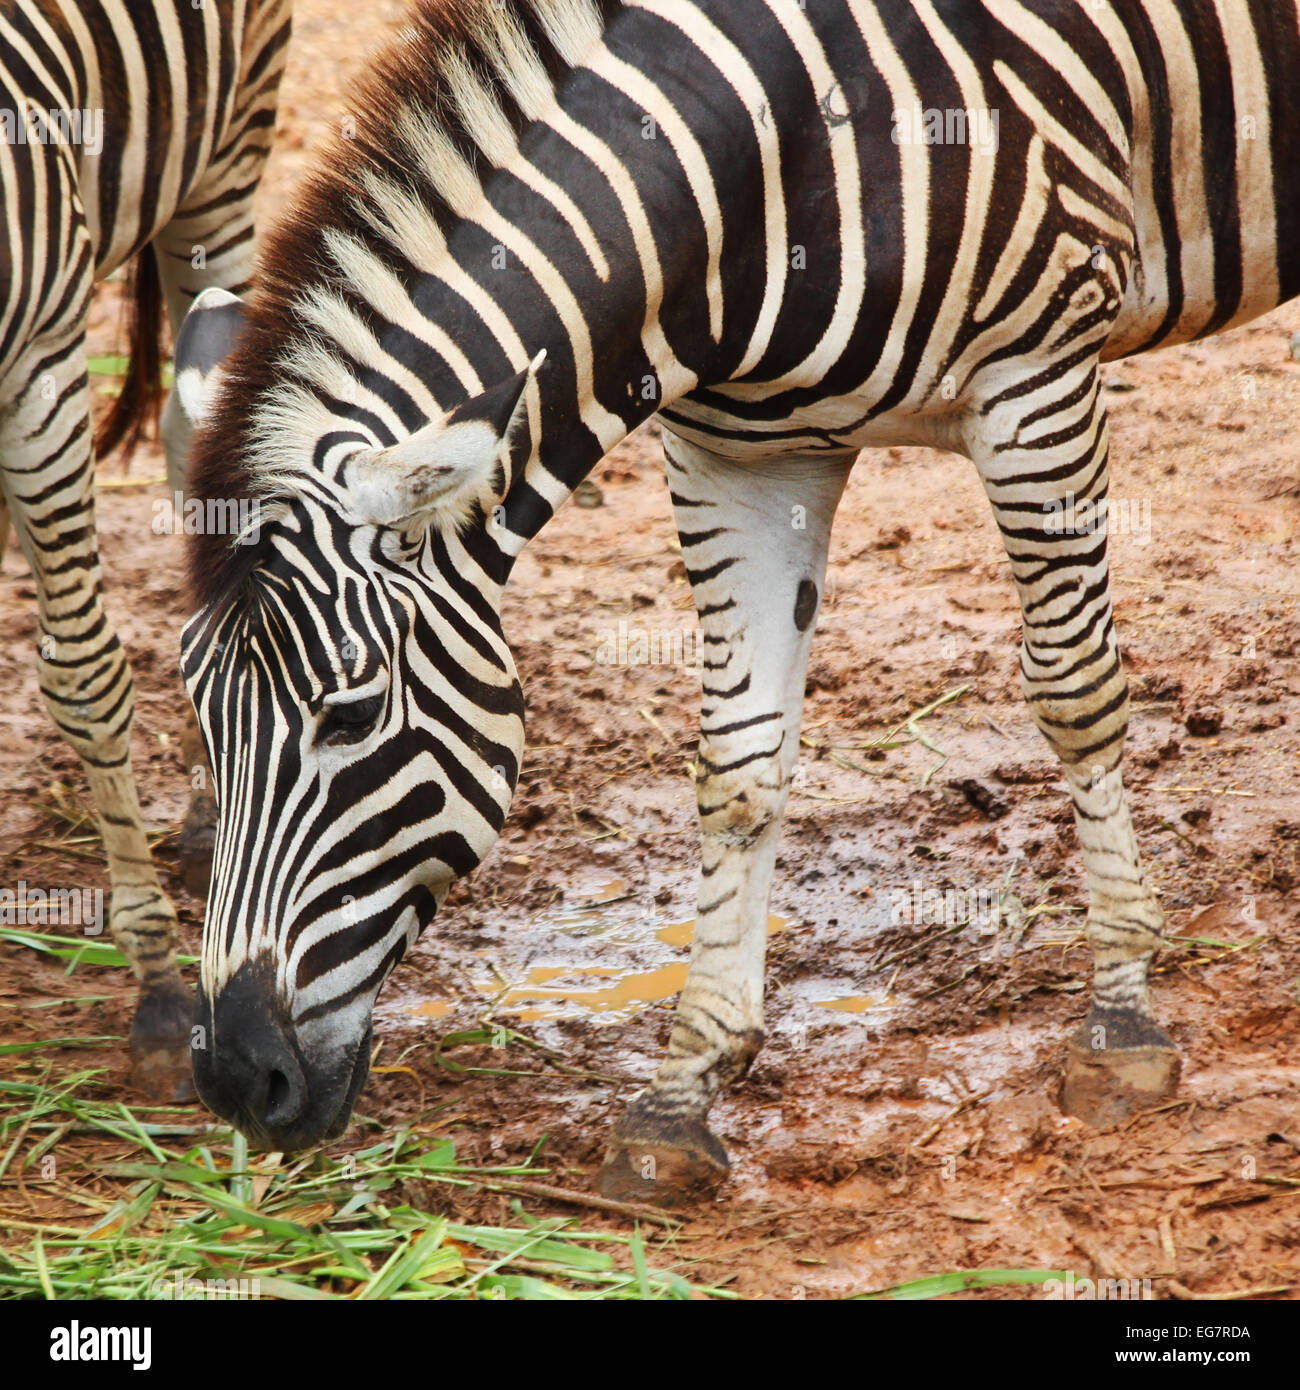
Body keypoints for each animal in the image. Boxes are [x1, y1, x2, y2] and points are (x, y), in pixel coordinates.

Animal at [174, 0, 1300, 1201]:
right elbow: (740, 764)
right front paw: (682, 1090)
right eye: (200, 721)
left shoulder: (1033, 380)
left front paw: (1122, 1019)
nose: (236, 1080)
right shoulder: (740, 455)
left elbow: (1074, 693)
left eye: (348, 716)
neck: (773, 160)